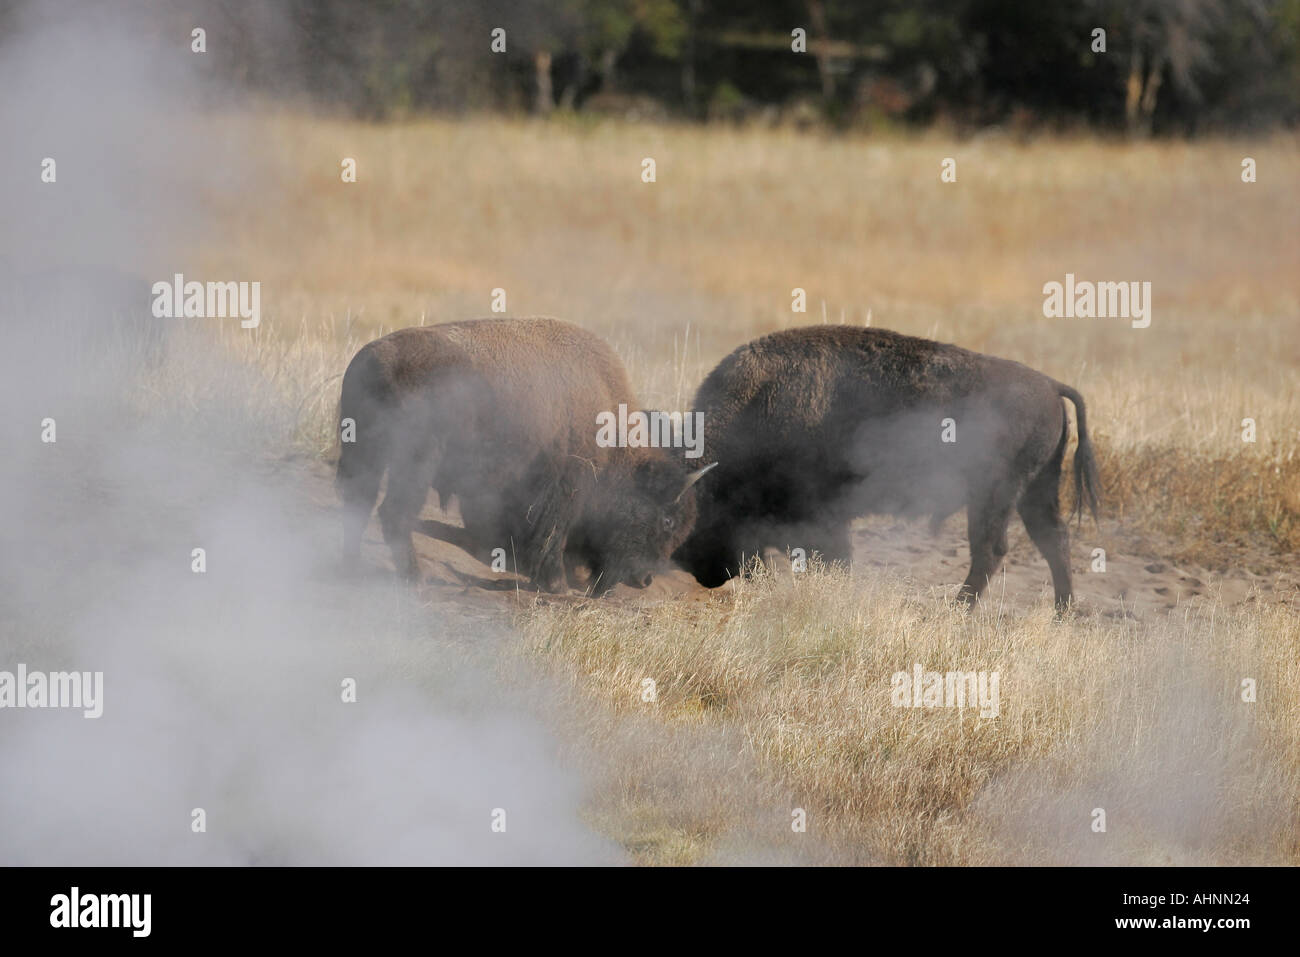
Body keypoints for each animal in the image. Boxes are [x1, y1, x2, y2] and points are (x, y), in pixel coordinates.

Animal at [336, 318, 712, 593]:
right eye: (666, 521)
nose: (644, 579)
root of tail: (374, 361)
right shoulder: (565, 487)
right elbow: (552, 532)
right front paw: (555, 584)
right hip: (413, 464)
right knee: (393, 512)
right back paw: (414, 578)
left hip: (361, 453)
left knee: (358, 504)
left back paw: (350, 565)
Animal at [673, 326, 1101, 610]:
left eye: (698, 518)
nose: (704, 574)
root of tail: (1050, 385)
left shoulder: (821, 519)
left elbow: (833, 558)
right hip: (1036, 491)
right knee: (1053, 540)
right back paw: (1062, 612)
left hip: (995, 495)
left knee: (991, 549)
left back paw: (958, 610)